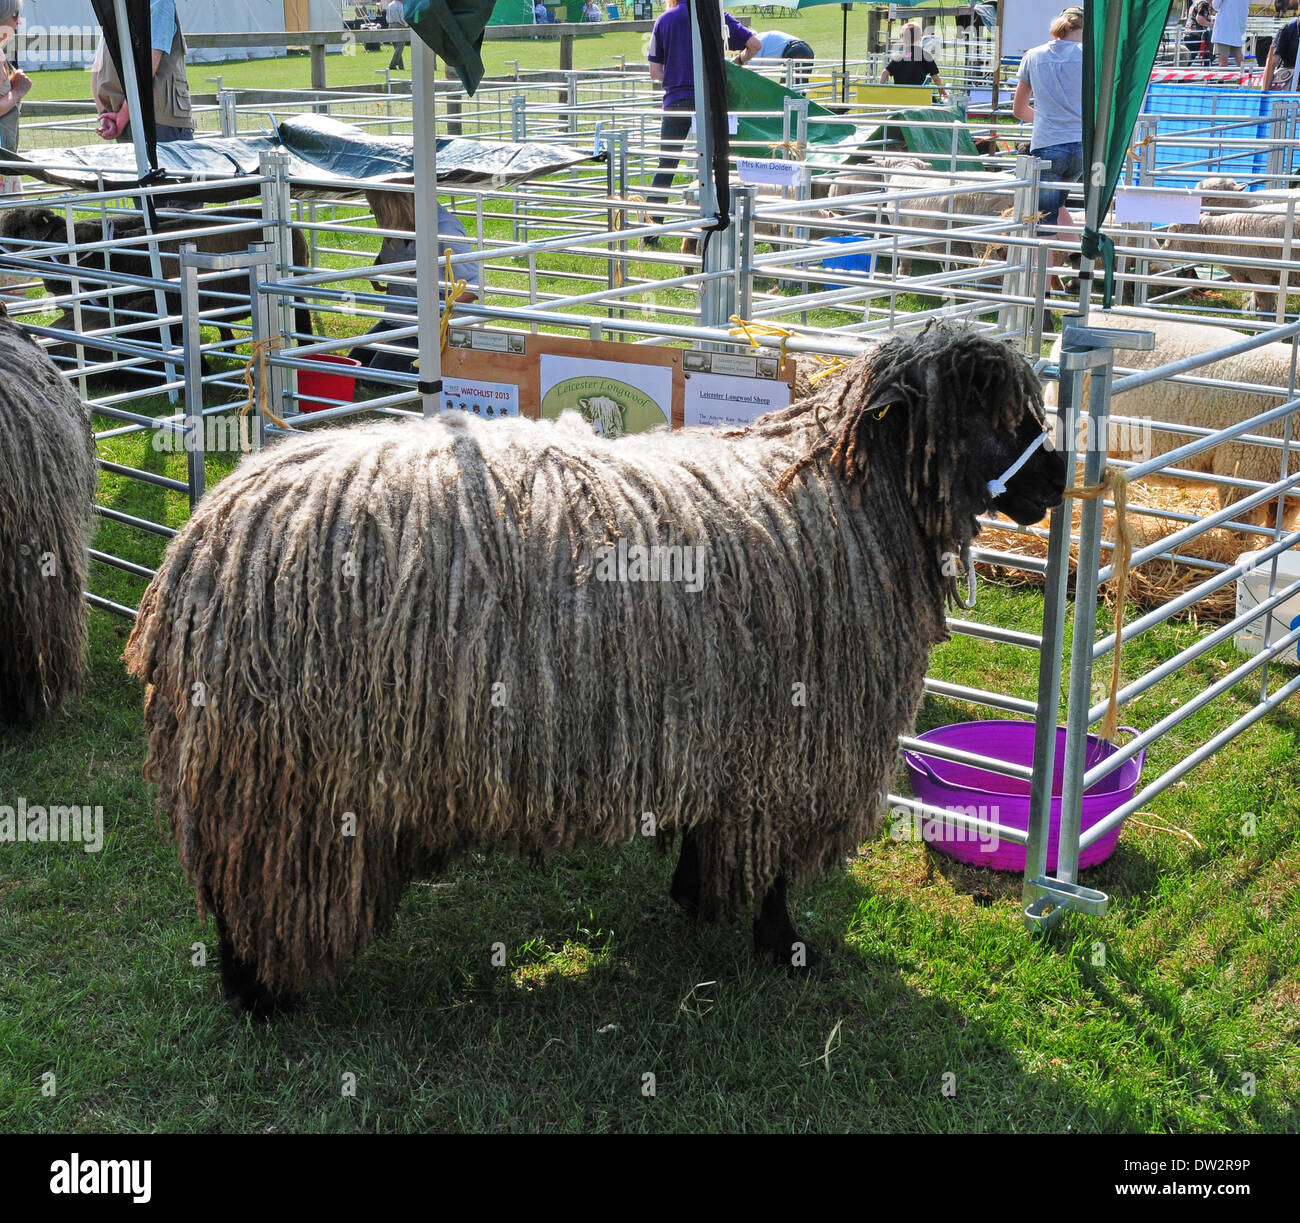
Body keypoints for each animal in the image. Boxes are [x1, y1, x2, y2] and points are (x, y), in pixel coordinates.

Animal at [123, 324, 1064, 1015]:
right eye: (985, 411)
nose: (1056, 476)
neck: (845, 497)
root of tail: (199, 549)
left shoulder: (725, 739)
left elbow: (709, 835)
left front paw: (690, 893)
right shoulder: (787, 752)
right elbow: (768, 872)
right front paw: (782, 946)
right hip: (289, 777)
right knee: (248, 885)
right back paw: (257, 993)